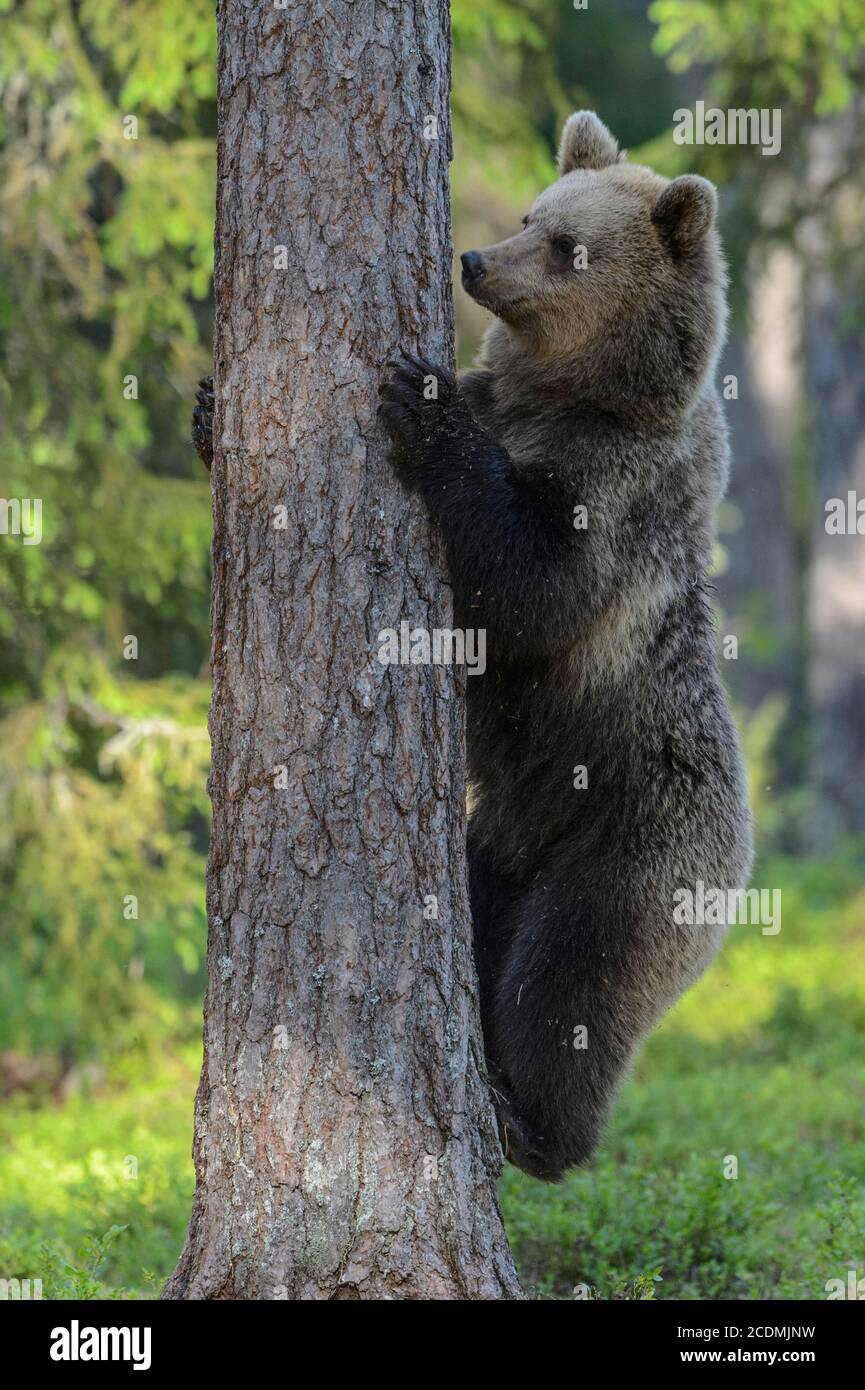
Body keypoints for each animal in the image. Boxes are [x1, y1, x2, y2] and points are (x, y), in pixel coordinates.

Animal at [377, 112, 753, 1181]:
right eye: (528, 214)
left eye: (567, 246)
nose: (472, 260)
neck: (573, 393)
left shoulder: (614, 488)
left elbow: (535, 585)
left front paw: (418, 397)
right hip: (493, 840)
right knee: (476, 912)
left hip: (636, 850)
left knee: (568, 989)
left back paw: (532, 1126)